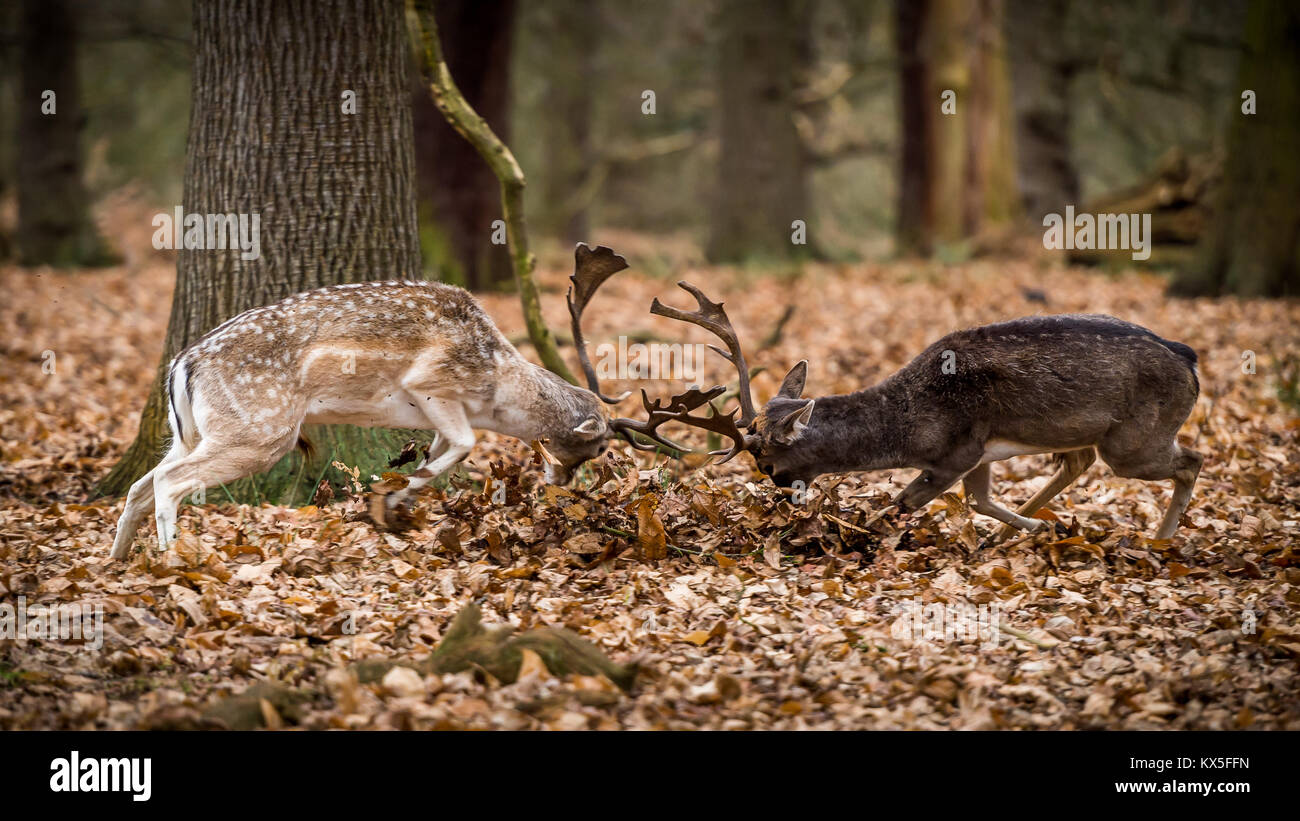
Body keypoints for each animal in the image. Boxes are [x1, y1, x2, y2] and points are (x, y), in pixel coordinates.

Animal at [568, 255, 1204, 542]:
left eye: (767, 462)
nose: (782, 498)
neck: (908, 423)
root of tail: (1188, 357)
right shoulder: (977, 452)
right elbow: (980, 501)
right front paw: (1030, 527)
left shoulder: (954, 449)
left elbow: (897, 505)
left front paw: (862, 537)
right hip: (1093, 434)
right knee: (1080, 459)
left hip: (1137, 438)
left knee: (1191, 458)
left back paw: (1161, 538)